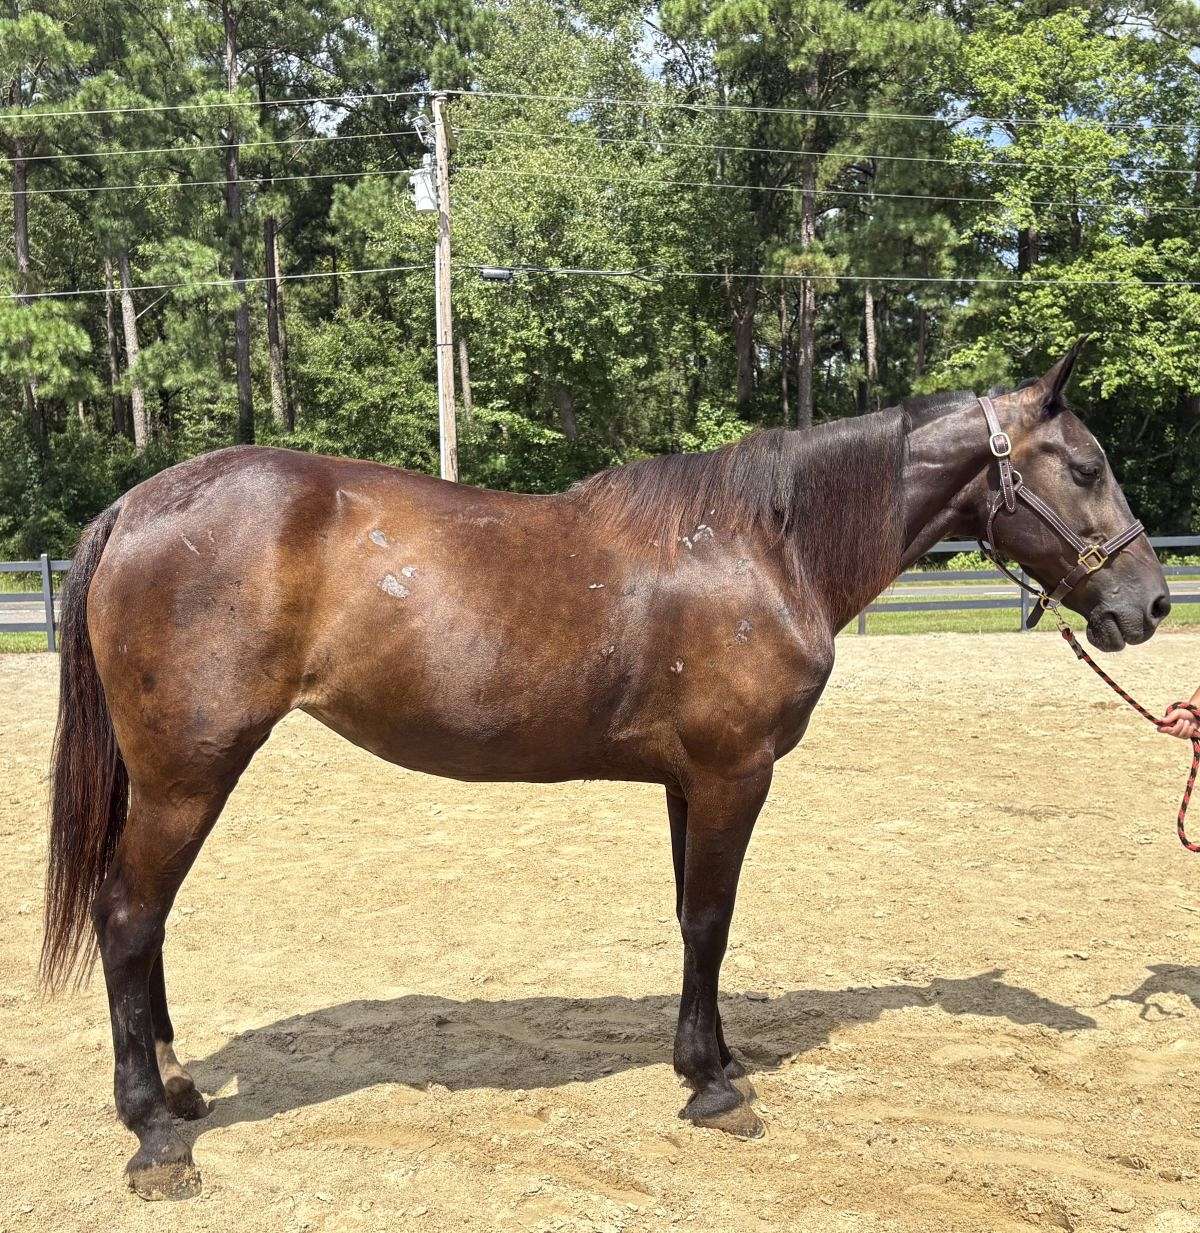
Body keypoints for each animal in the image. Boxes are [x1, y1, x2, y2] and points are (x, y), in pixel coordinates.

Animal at [41, 341, 1169, 1199]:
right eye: (1082, 466)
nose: (1151, 603)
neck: (767, 546)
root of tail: (136, 507)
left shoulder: (685, 781)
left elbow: (689, 917)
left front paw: (712, 1058)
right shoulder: (732, 774)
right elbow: (710, 918)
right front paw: (713, 1087)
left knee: (146, 922)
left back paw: (179, 1089)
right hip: (190, 773)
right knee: (128, 916)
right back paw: (154, 1134)